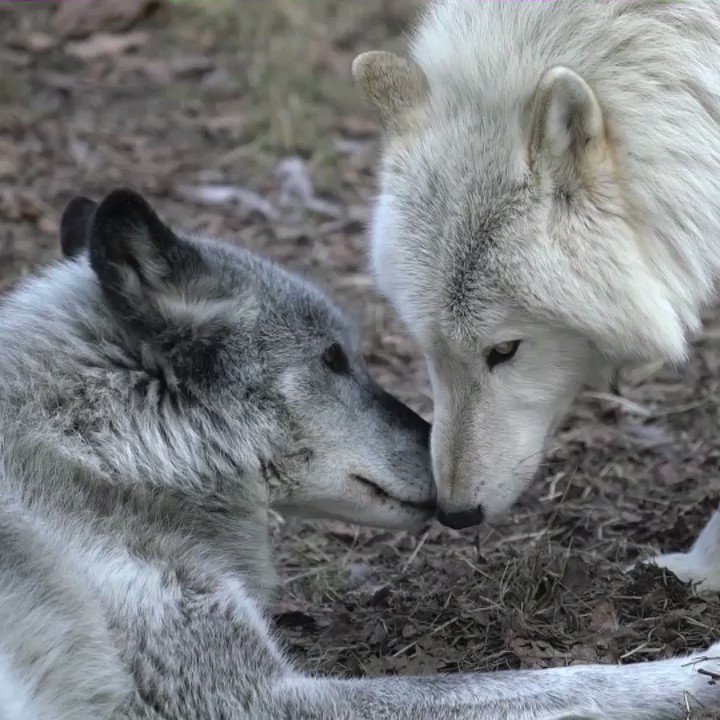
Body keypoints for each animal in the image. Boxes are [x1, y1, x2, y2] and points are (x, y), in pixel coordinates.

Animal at [1, 187, 719, 719]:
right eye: (332, 359)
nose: (448, 475)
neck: (106, 456)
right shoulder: (252, 699)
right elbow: (569, 678)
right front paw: (698, 667)